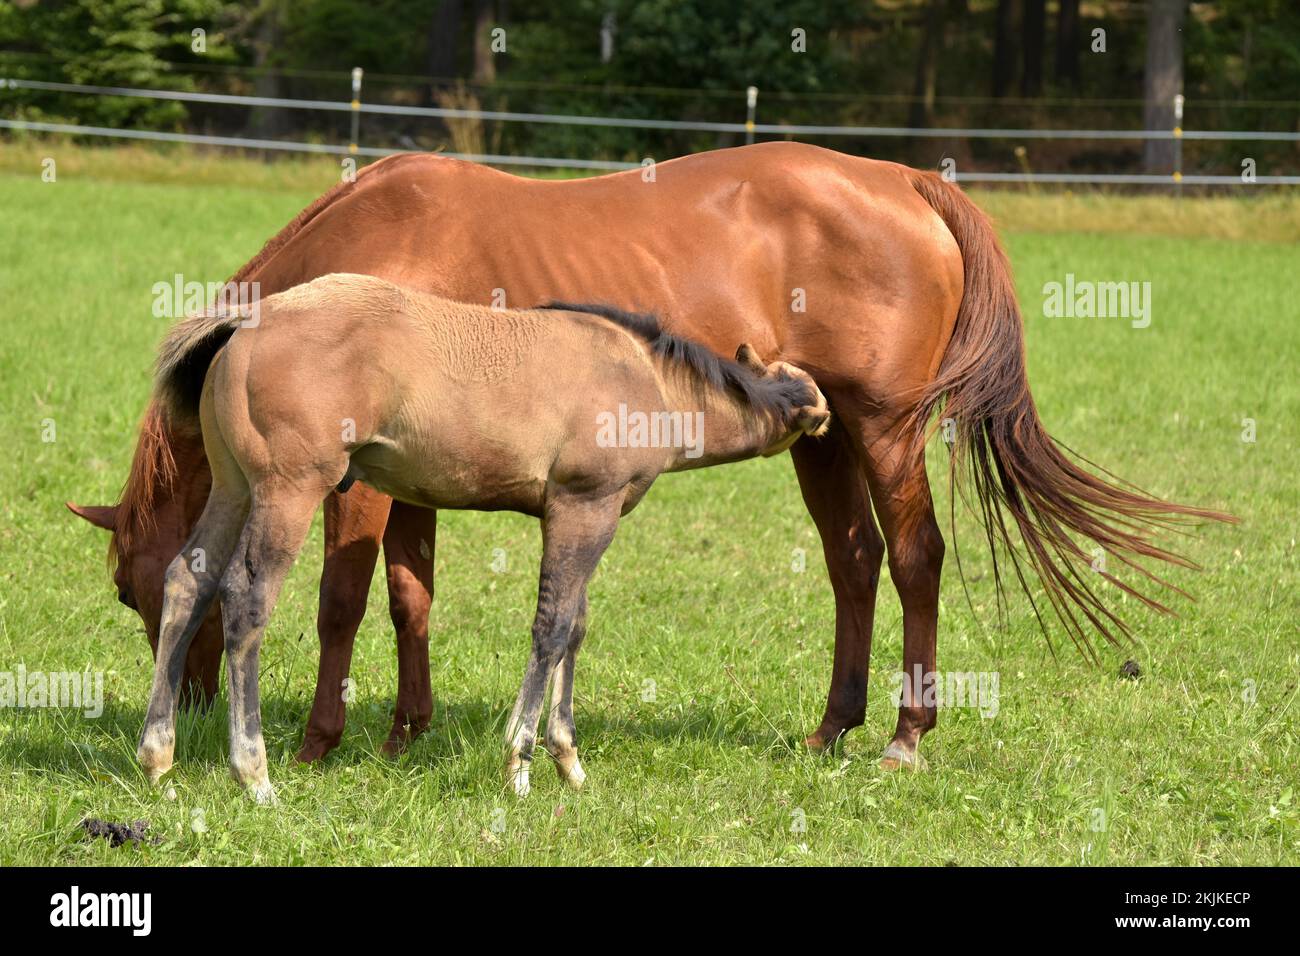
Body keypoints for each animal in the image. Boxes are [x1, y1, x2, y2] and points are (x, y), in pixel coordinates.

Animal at [136, 273, 831, 801]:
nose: (827, 422)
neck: (644, 379)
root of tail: (249, 320)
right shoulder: (584, 508)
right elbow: (551, 626)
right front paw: (519, 764)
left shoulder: (585, 518)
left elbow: (574, 628)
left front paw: (569, 762)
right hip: (289, 491)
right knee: (245, 599)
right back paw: (254, 774)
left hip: (233, 489)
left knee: (186, 582)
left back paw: (158, 757)